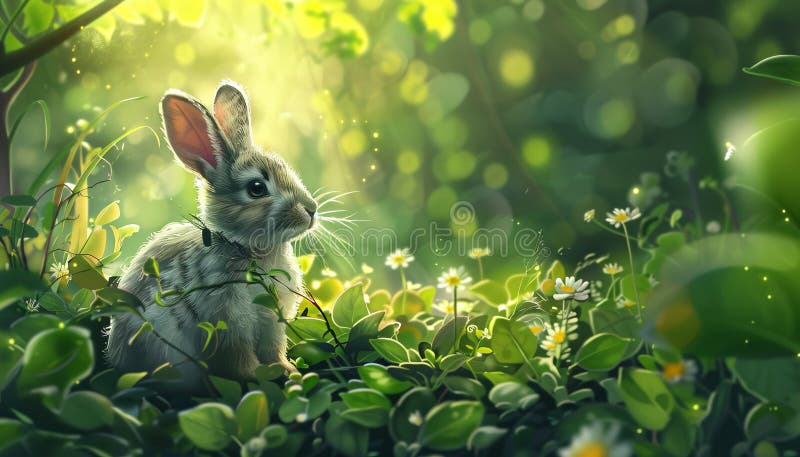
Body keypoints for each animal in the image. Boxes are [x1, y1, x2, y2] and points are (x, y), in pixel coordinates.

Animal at [105, 81, 317, 391]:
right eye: (256, 188)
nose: (311, 210)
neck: (248, 250)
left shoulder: (272, 324)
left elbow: (274, 352)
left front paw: (289, 372)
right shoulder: (226, 323)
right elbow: (238, 359)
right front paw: (254, 378)